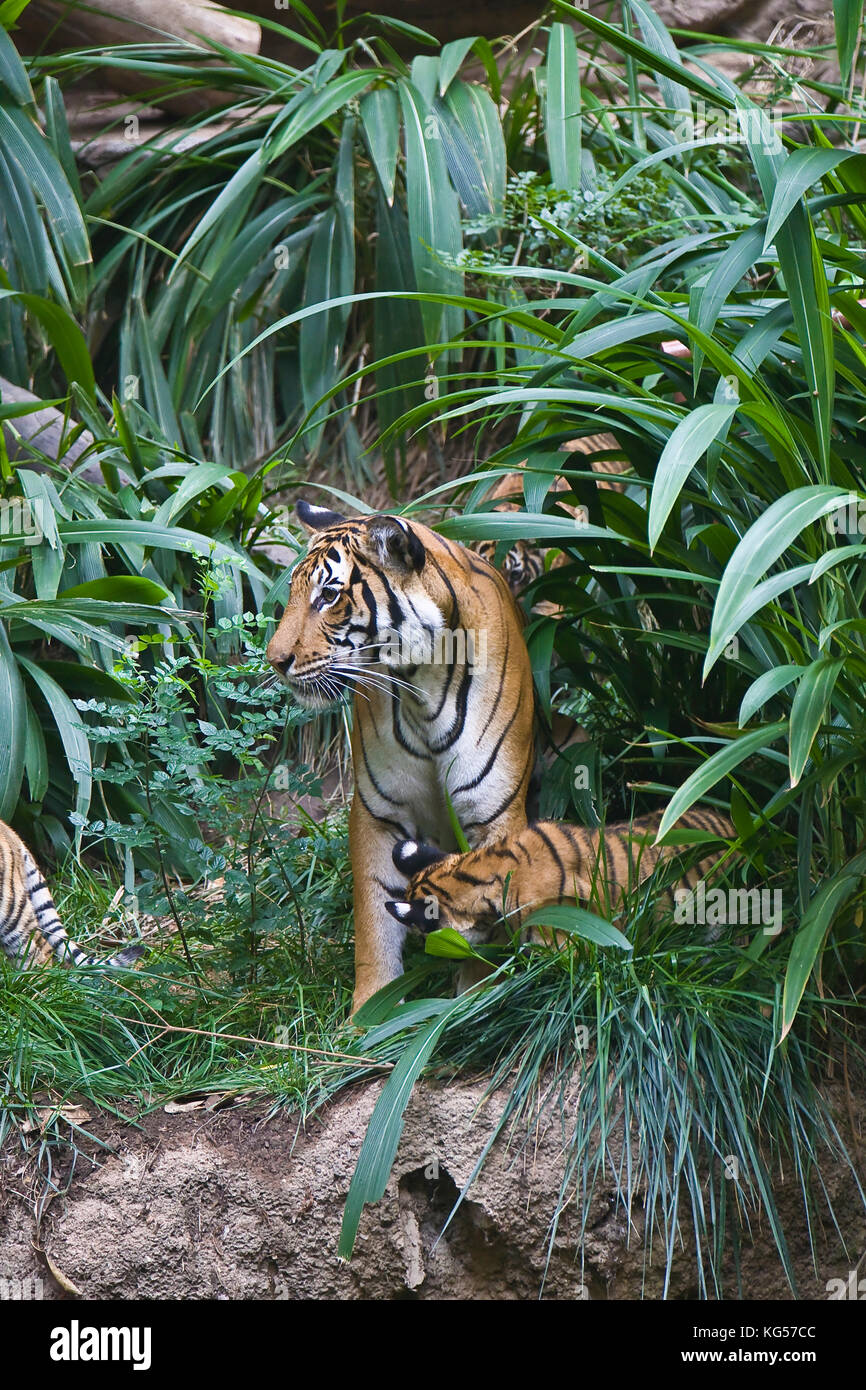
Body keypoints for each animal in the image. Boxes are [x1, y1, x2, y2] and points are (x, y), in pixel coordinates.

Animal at [266, 500, 535, 1013]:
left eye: (329, 595)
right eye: (291, 592)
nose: (275, 661)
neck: (421, 686)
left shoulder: (494, 815)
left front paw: (469, 1001)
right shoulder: (378, 813)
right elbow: (373, 922)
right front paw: (370, 1012)